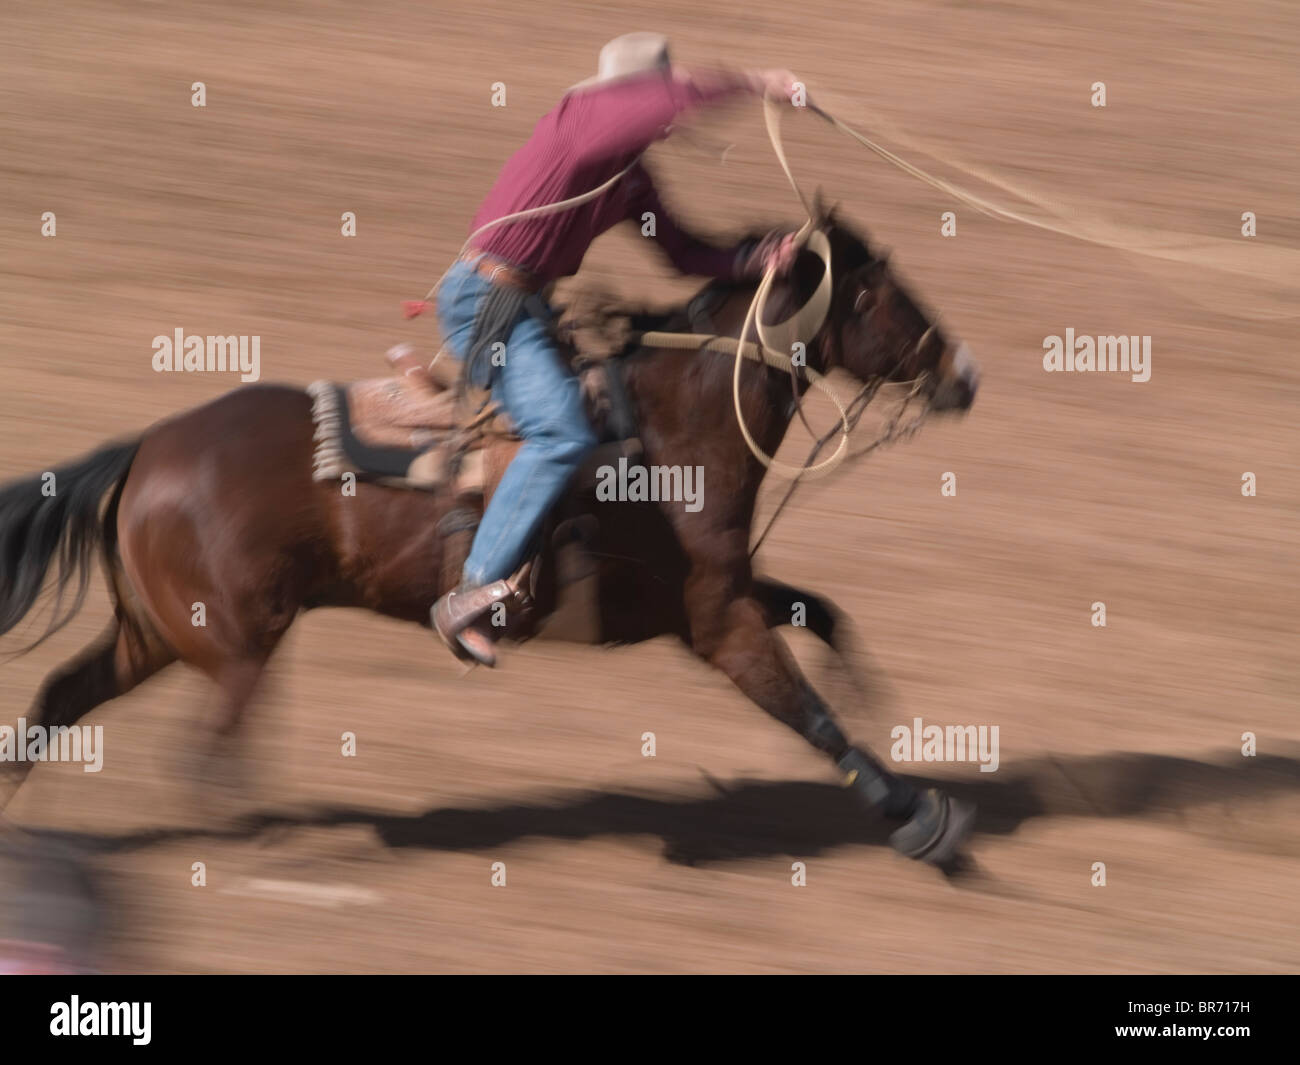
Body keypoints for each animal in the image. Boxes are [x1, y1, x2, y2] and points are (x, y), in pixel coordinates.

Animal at [0, 207, 980, 863]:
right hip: (235, 644)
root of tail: (146, 450)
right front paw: (920, 817)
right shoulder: (718, 621)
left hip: (159, 633)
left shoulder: (720, 592)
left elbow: (826, 616)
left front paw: (879, 706)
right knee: (204, 756)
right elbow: (807, 711)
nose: (963, 372)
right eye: (877, 292)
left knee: (60, 697)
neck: (666, 428)